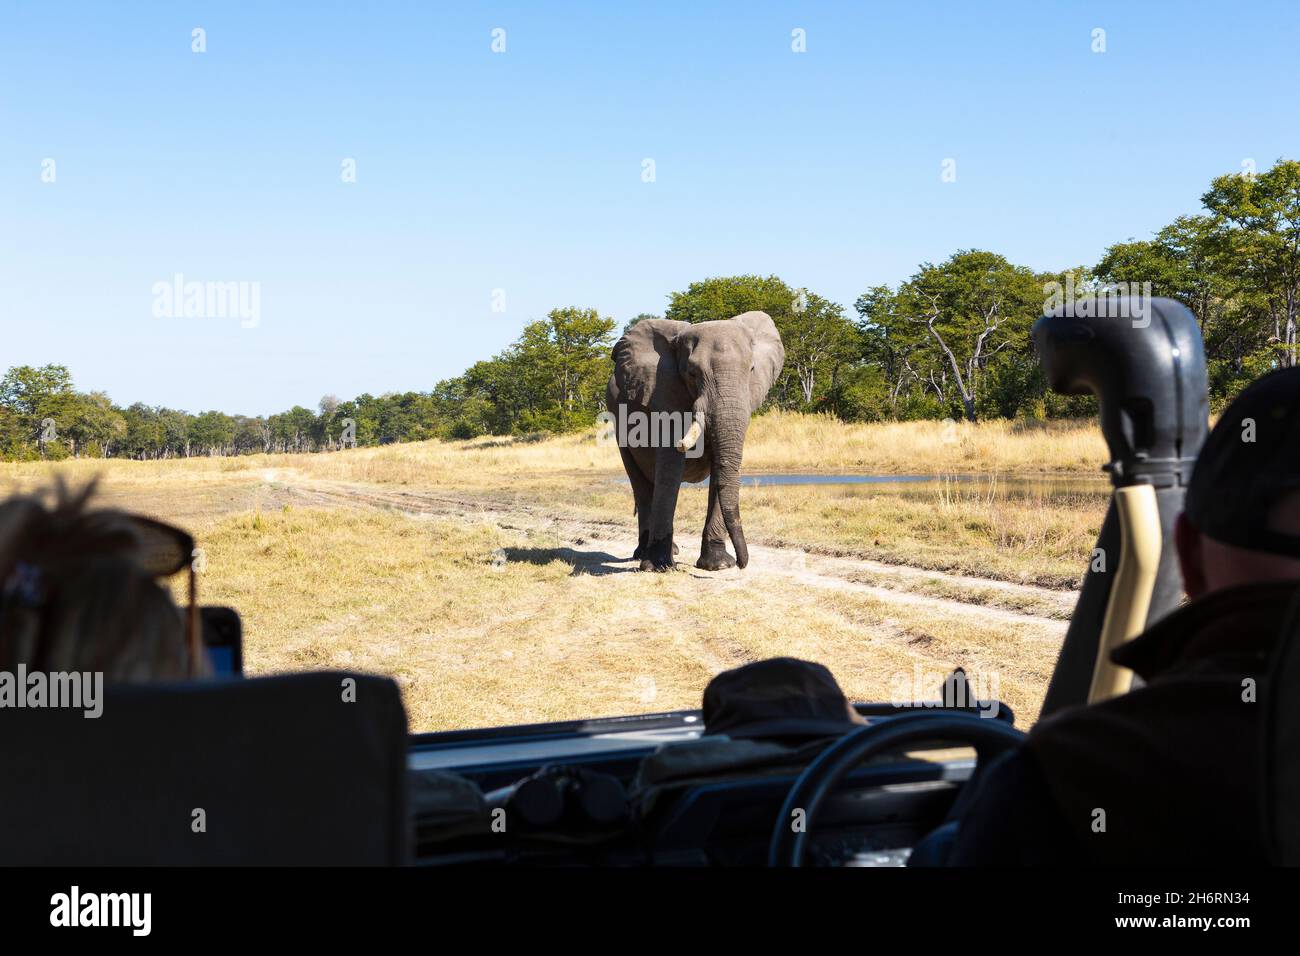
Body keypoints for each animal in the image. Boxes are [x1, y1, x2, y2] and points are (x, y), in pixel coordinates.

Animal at [605, 311, 785, 572]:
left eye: (751, 369)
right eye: (692, 373)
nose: (742, 564)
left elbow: (723, 468)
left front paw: (719, 565)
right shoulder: (664, 391)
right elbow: (670, 466)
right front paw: (659, 567)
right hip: (618, 425)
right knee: (642, 486)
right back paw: (644, 555)